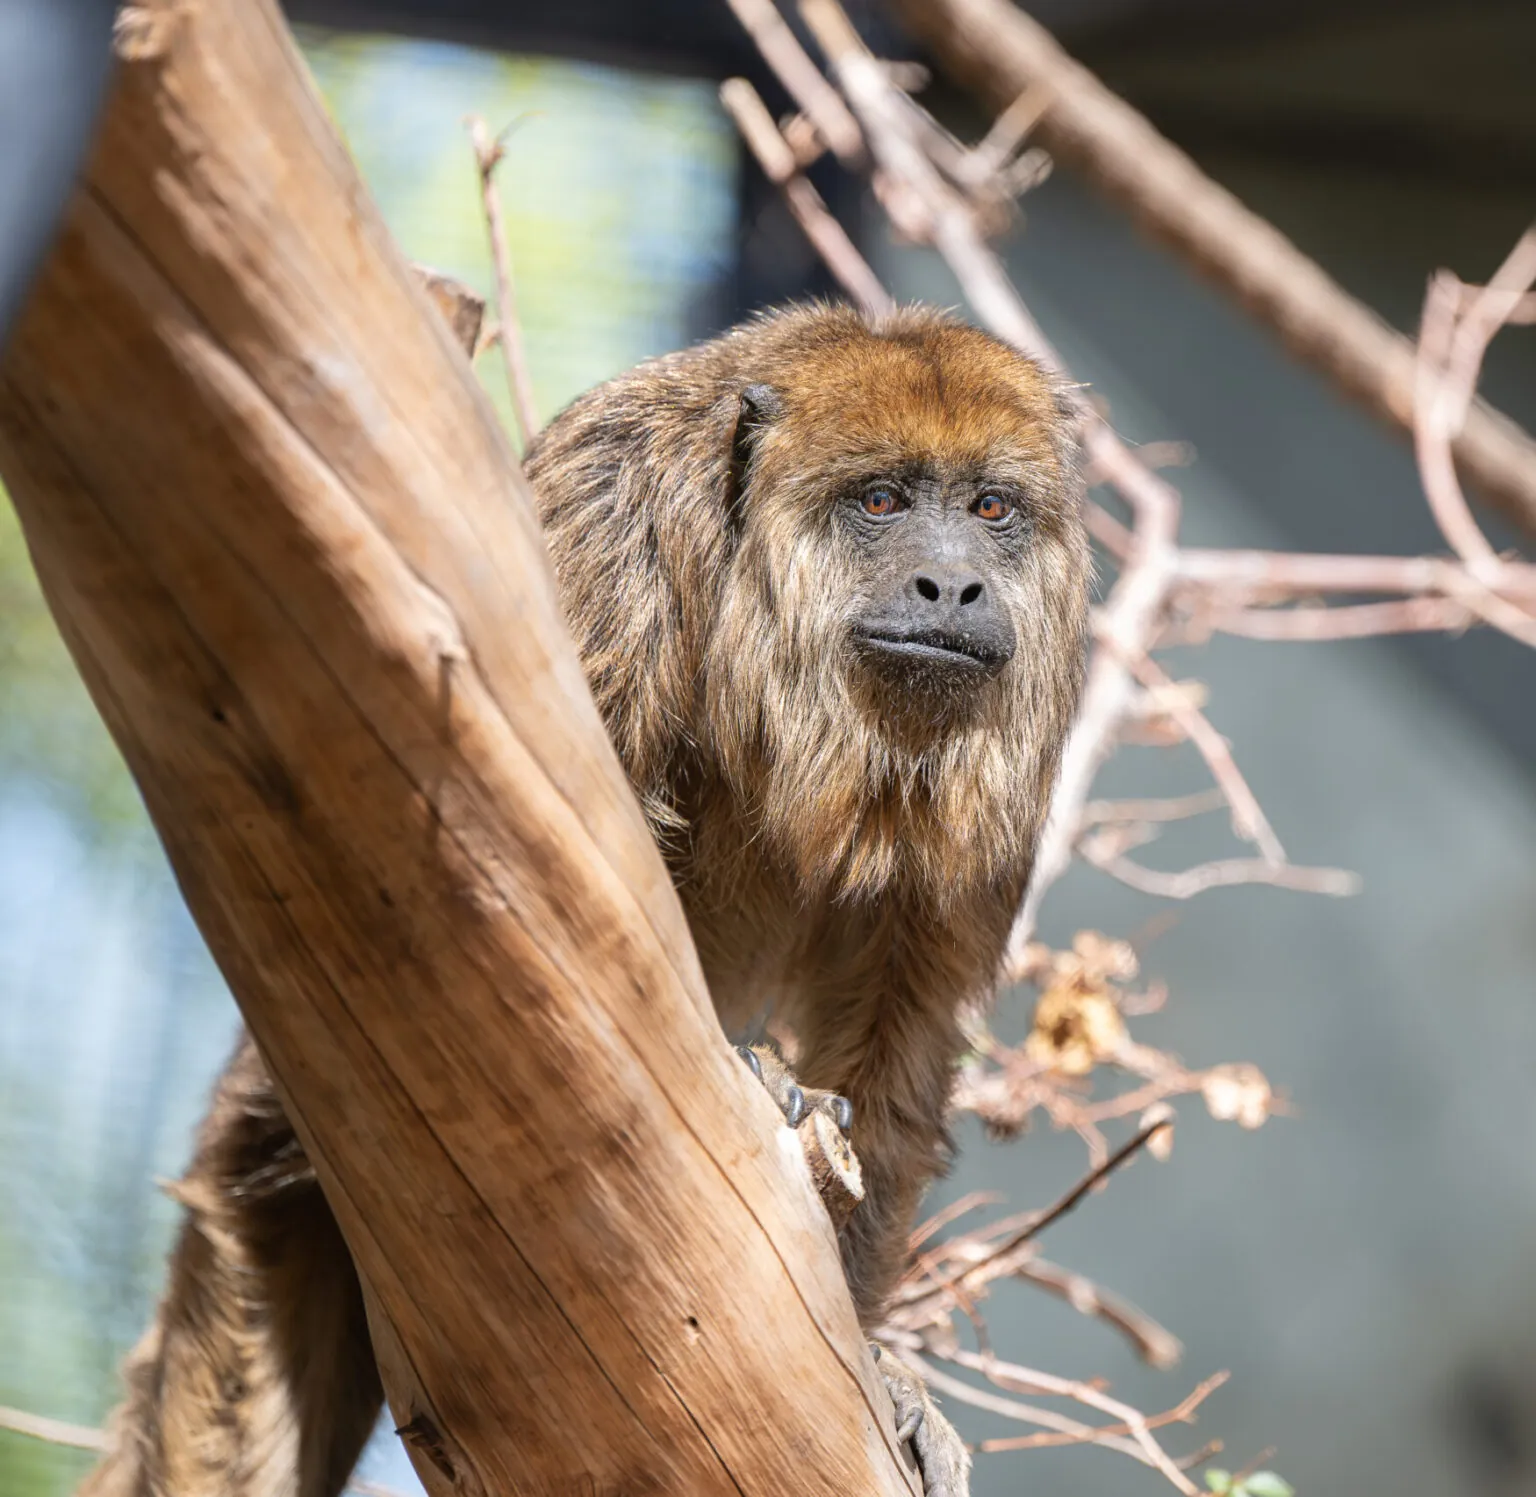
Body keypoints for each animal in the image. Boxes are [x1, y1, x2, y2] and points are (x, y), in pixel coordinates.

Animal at [80, 302, 1089, 1497]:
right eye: (881, 500)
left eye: (991, 510)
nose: (952, 585)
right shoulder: (613, 524)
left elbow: (903, 1028)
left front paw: (876, 1365)